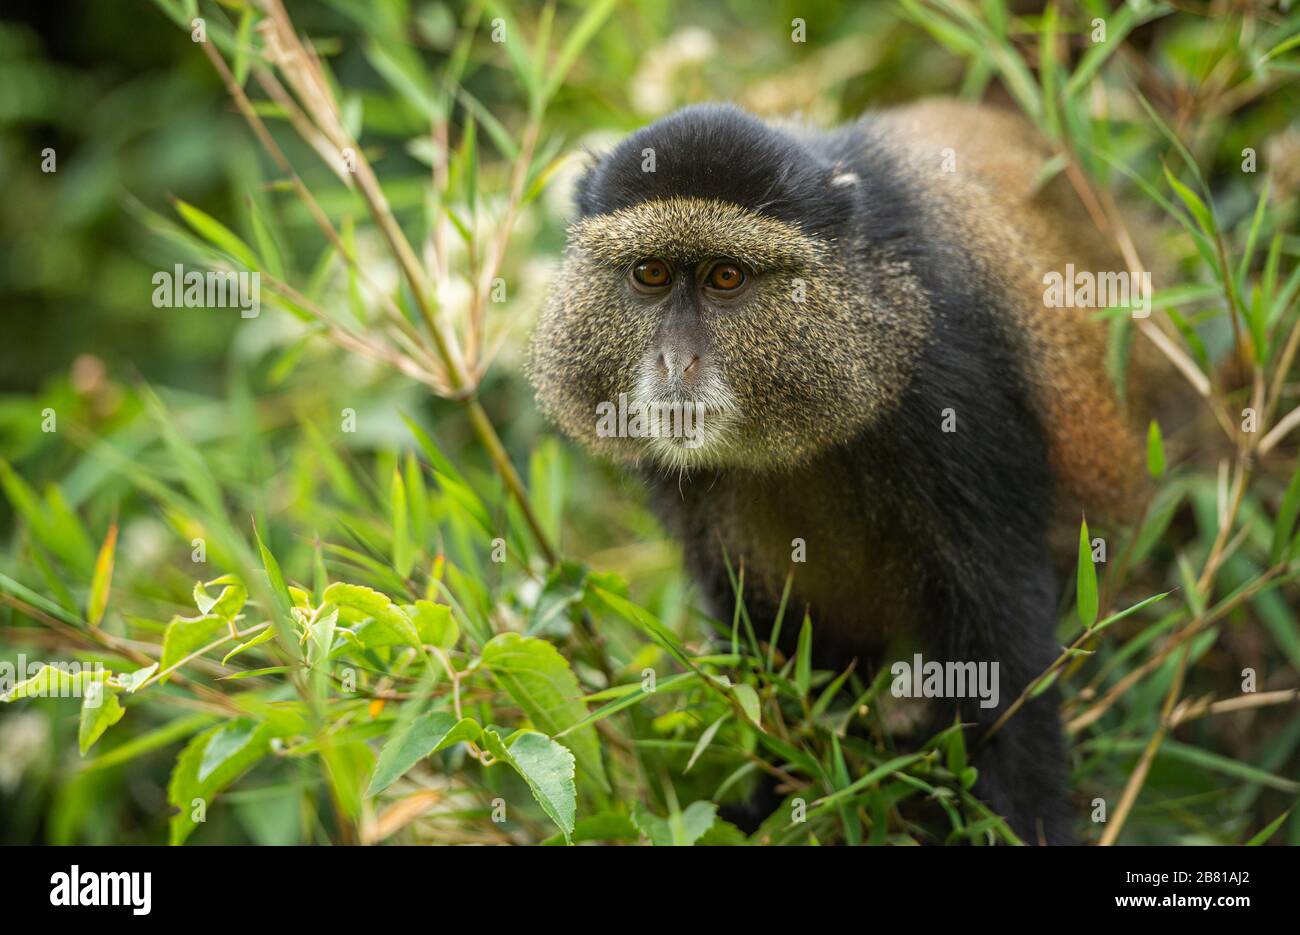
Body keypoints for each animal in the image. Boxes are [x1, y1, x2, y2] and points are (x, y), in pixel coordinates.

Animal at [529, 99, 1169, 845]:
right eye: (651, 275)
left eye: (726, 278)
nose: (673, 363)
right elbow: (767, 639)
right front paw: (773, 803)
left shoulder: (950, 391)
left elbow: (1001, 630)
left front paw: (1020, 823)